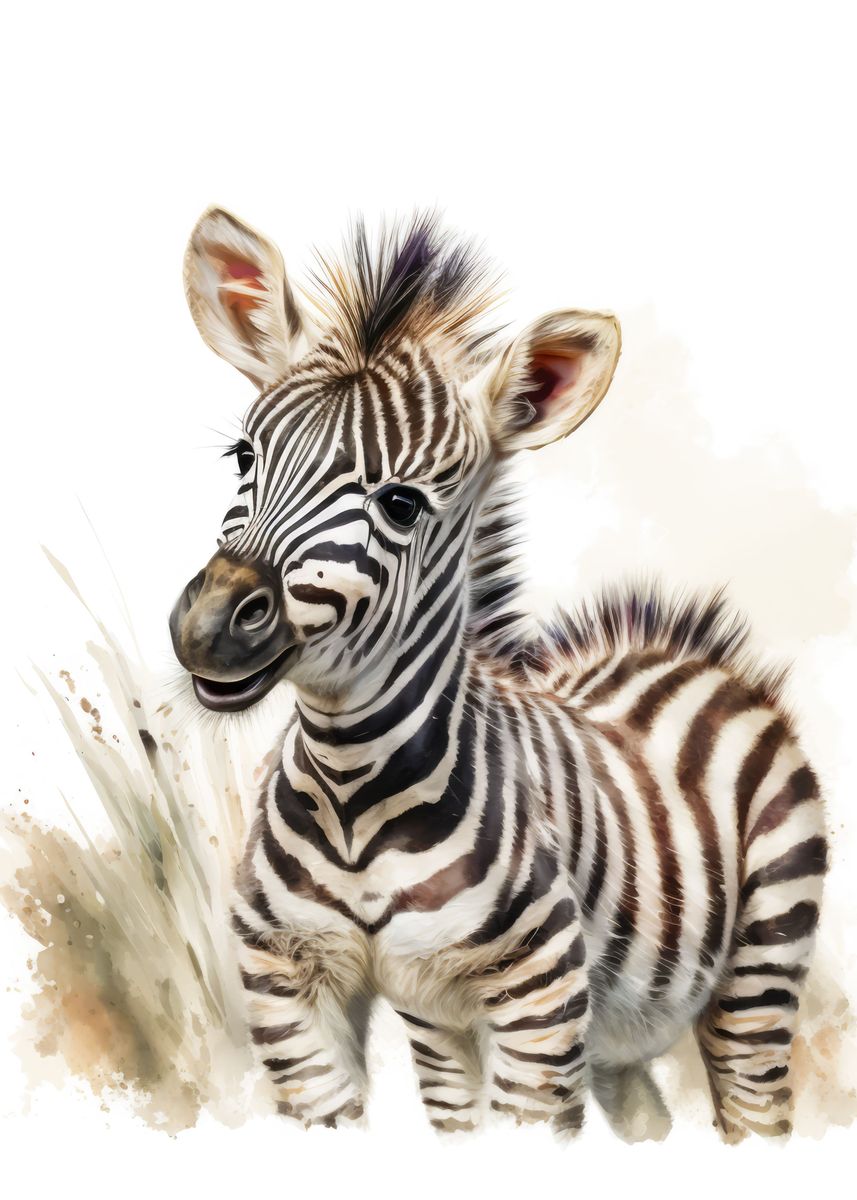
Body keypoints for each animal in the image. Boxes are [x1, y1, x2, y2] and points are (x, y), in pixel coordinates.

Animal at [170, 206, 827, 1140]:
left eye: (400, 503)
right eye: (243, 458)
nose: (211, 627)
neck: (349, 793)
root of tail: (682, 653)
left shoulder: (539, 998)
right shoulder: (301, 988)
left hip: (758, 971)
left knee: (754, 1104)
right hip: (594, 1036)